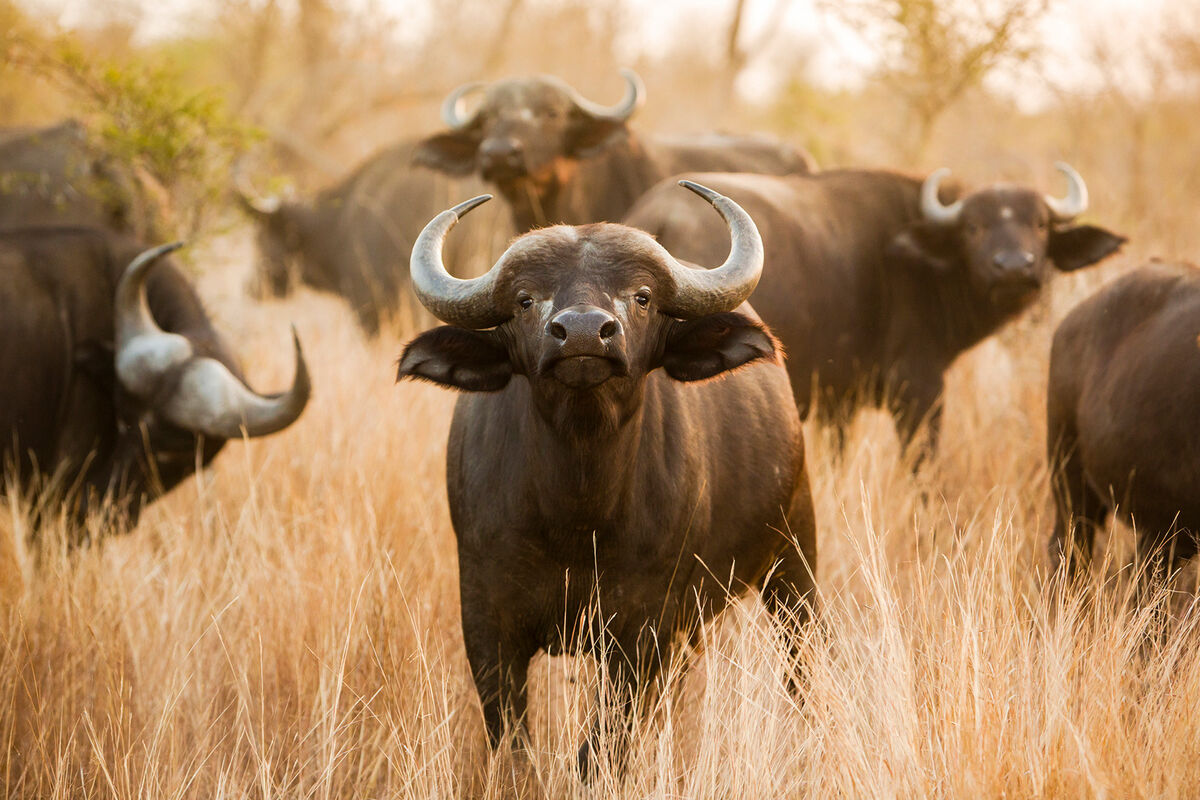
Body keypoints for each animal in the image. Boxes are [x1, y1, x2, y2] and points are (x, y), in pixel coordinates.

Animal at [397, 182, 816, 775]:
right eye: (525, 299)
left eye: (641, 296)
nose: (581, 333)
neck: (576, 511)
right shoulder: (486, 624)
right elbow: (515, 746)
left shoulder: (643, 632)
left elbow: (600, 751)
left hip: (794, 557)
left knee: (801, 658)